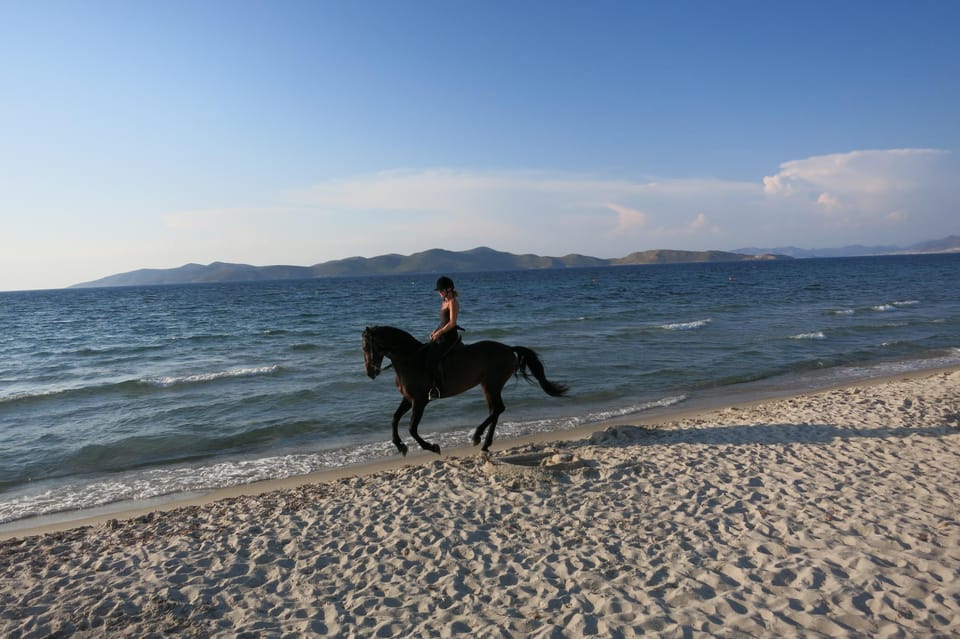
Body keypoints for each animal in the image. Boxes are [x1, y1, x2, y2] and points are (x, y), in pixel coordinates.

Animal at [362, 325, 568, 456]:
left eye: (365, 347)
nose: (370, 373)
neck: (410, 359)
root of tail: (509, 348)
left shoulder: (420, 401)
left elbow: (412, 428)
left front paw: (432, 447)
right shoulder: (408, 399)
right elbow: (394, 418)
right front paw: (400, 446)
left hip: (492, 384)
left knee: (497, 409)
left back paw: (477, 436)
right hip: (488, 385)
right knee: (495, 410)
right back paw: (484, 444)